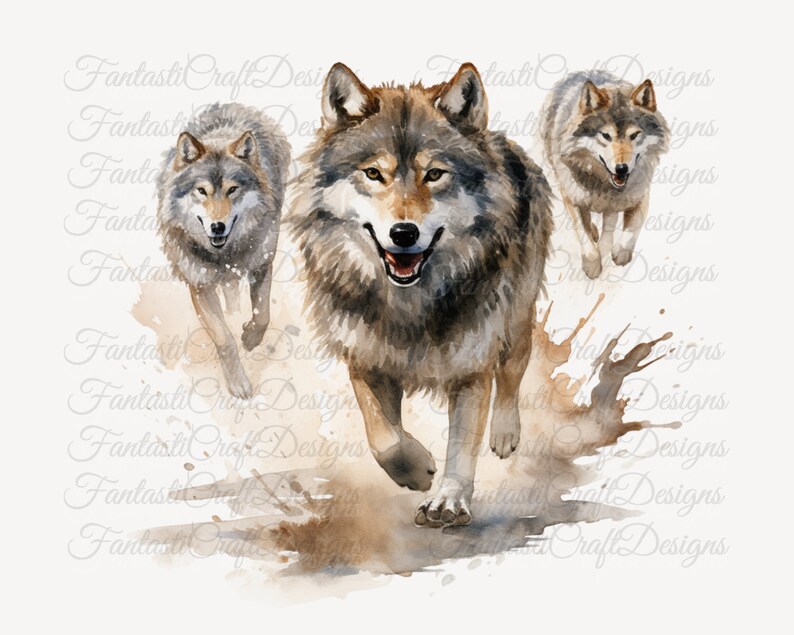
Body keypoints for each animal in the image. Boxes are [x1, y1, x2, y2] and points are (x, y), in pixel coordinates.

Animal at [156, 103, 290, 398]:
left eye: (232, 190)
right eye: (201, 191)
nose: (217, 226)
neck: (225, 256)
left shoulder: (261, 264)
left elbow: (262, 314)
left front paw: (251, 337)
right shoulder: (200, 285)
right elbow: (224, 339)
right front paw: (238, 383)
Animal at [287, 63, 553, 526]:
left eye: (434, 174)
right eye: (374, 173)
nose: (404, 233)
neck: (409, 304)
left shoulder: (472, 366)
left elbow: (462, 445)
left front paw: (448, 500)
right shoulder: (364, 356)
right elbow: (384, 437)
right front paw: (414, 469)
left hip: (515, 315)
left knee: (514, 371)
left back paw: (505, 434)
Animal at [541, 71, 669, 278]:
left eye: (634, 135)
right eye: (606, 136)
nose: (621, 168)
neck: (603, 183)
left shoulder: (638, 197)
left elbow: (629, 230)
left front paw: (619, 254)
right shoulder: (572, 198)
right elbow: (583, 233)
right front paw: (592, 266)